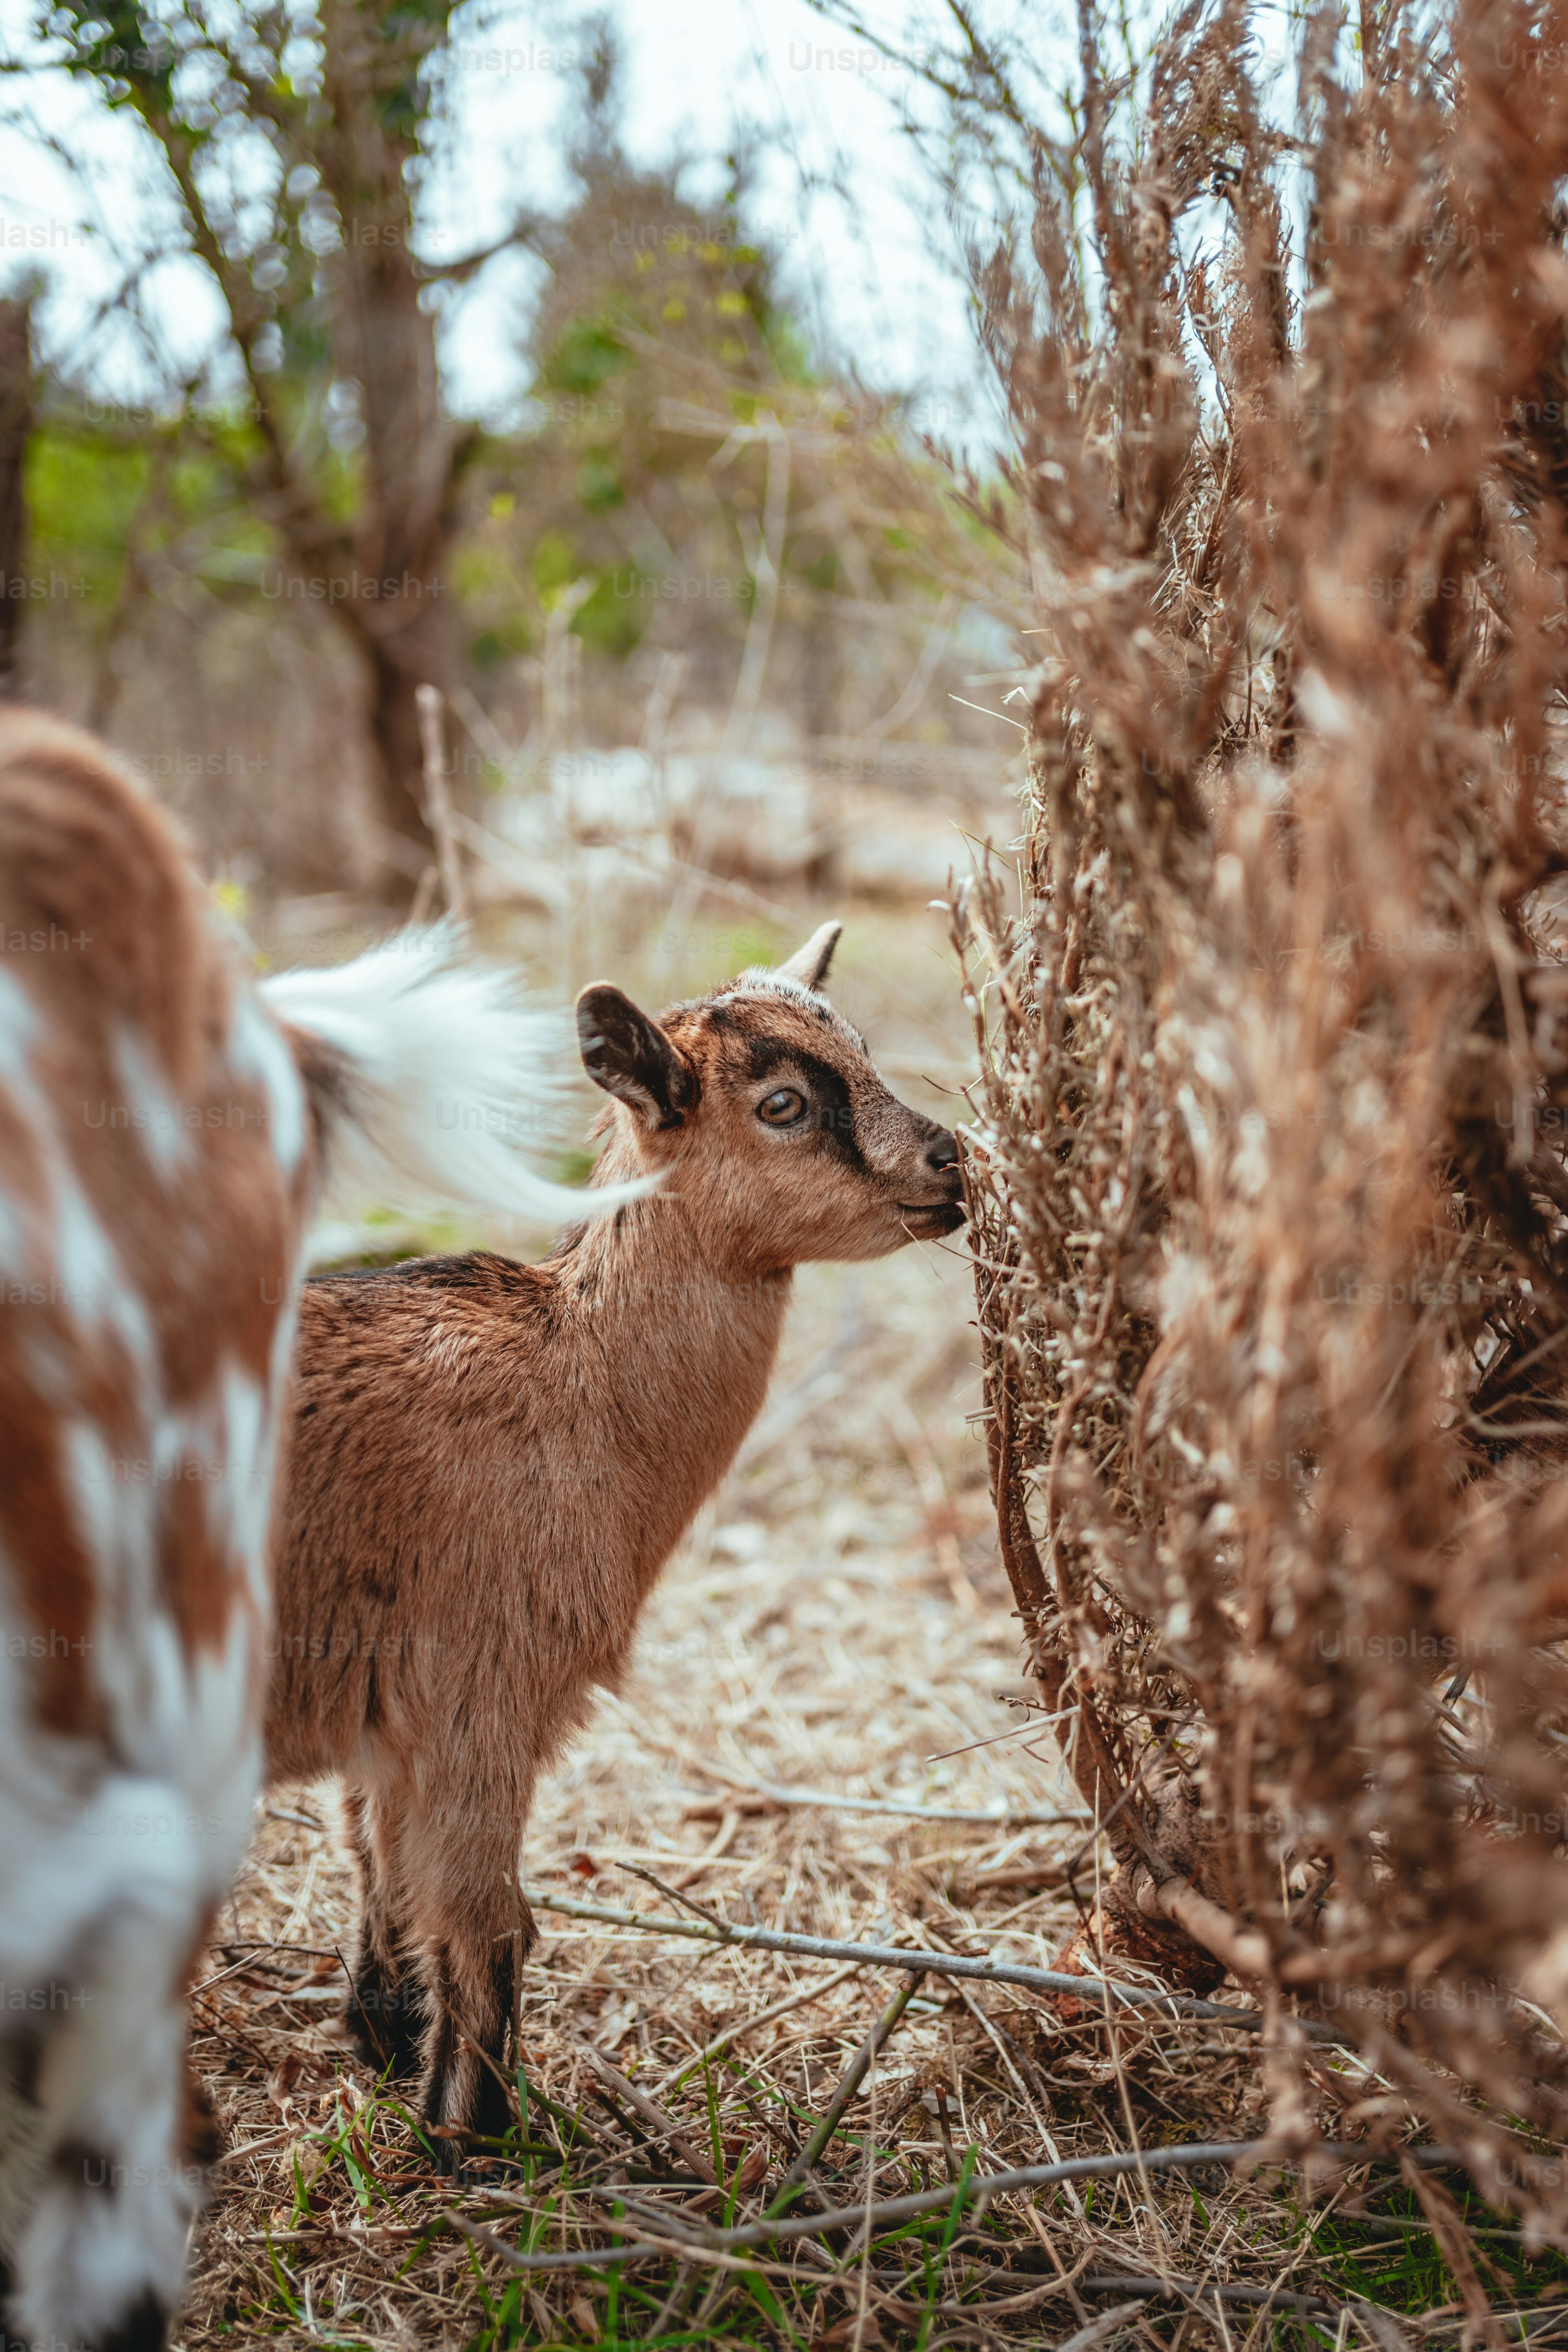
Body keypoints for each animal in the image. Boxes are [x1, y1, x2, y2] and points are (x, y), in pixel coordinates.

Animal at [263, 921, 965, 2170]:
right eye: (783, 1103)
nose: (954, 1168)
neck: (574, 1387)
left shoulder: (389, 1727)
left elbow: (383, 1875)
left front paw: (387, 2057)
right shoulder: (481, 1696)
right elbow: (489, 1922)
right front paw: (478, 2144)